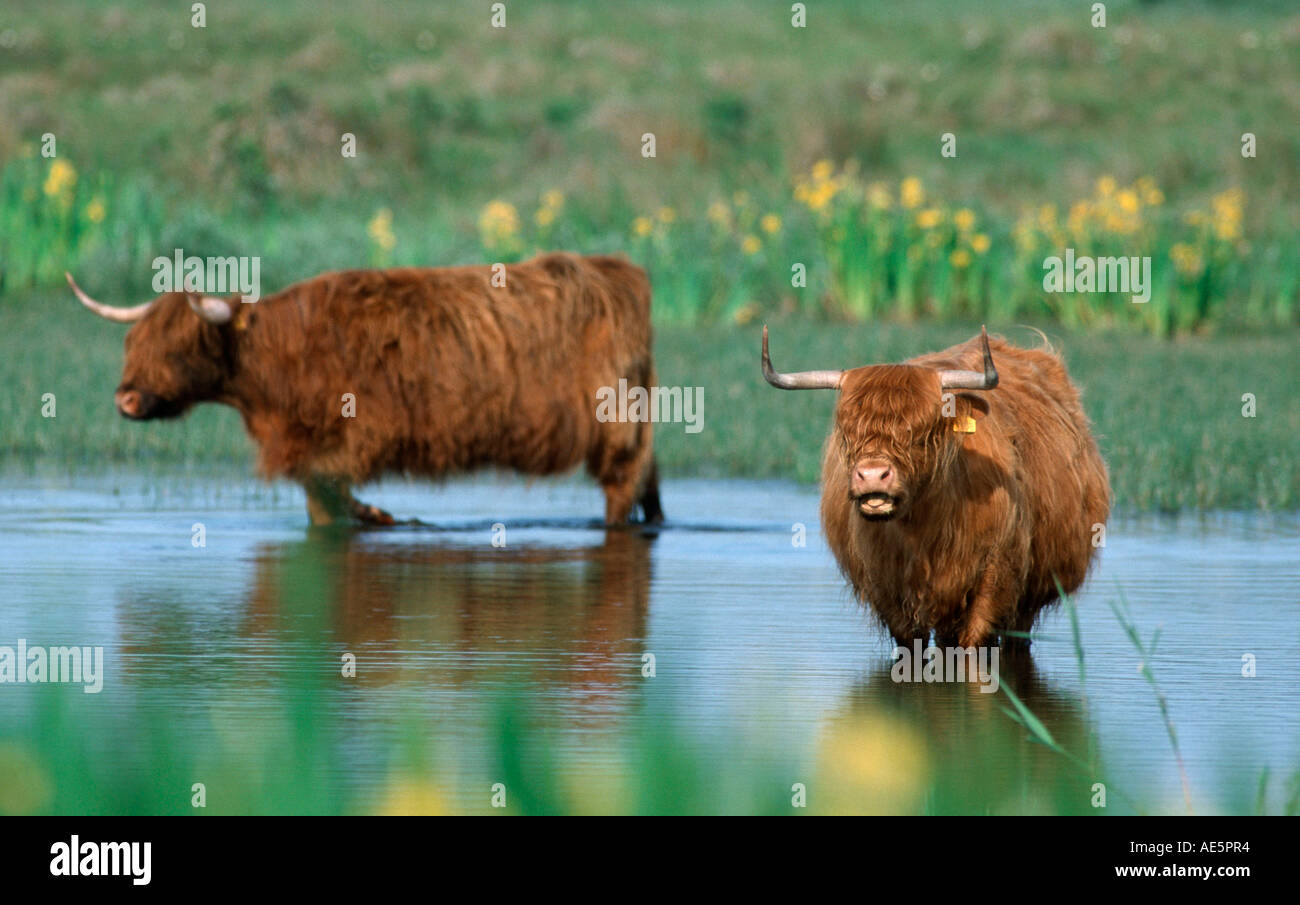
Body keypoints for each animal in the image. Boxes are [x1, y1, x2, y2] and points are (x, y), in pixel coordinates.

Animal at [69, 252, 663, 527]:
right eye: (133, 342)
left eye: (179, 346)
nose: (126, 399)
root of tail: (616, 271)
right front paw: (380, 517)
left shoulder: (344, 443)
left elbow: (329, 504)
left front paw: (378, 516)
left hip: (614, 428)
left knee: (622, 486)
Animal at [761, 325, 1109, 649]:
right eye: (847, 429)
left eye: (920, 429)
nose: (872, 475)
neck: (924, 527)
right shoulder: (885, 587)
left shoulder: (996, 575)